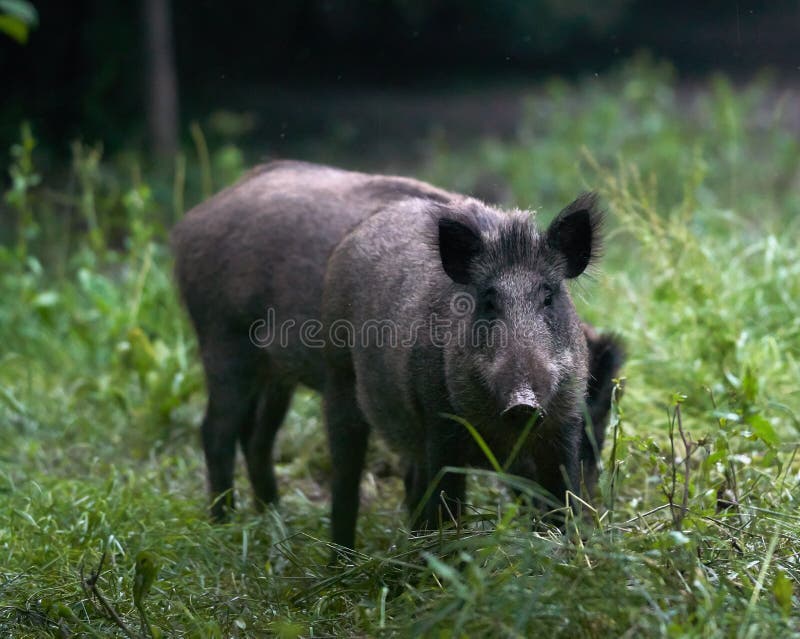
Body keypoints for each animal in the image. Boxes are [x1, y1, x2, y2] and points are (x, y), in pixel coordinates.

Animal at [171, 160, 623, 539]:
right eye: (488, 302)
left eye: (602, 416)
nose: (592, 516)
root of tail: (190, 222)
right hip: (225, 344)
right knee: (216, 431)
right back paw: (225, 527)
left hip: (275, 374)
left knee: (256, 437)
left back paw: (273, 521)